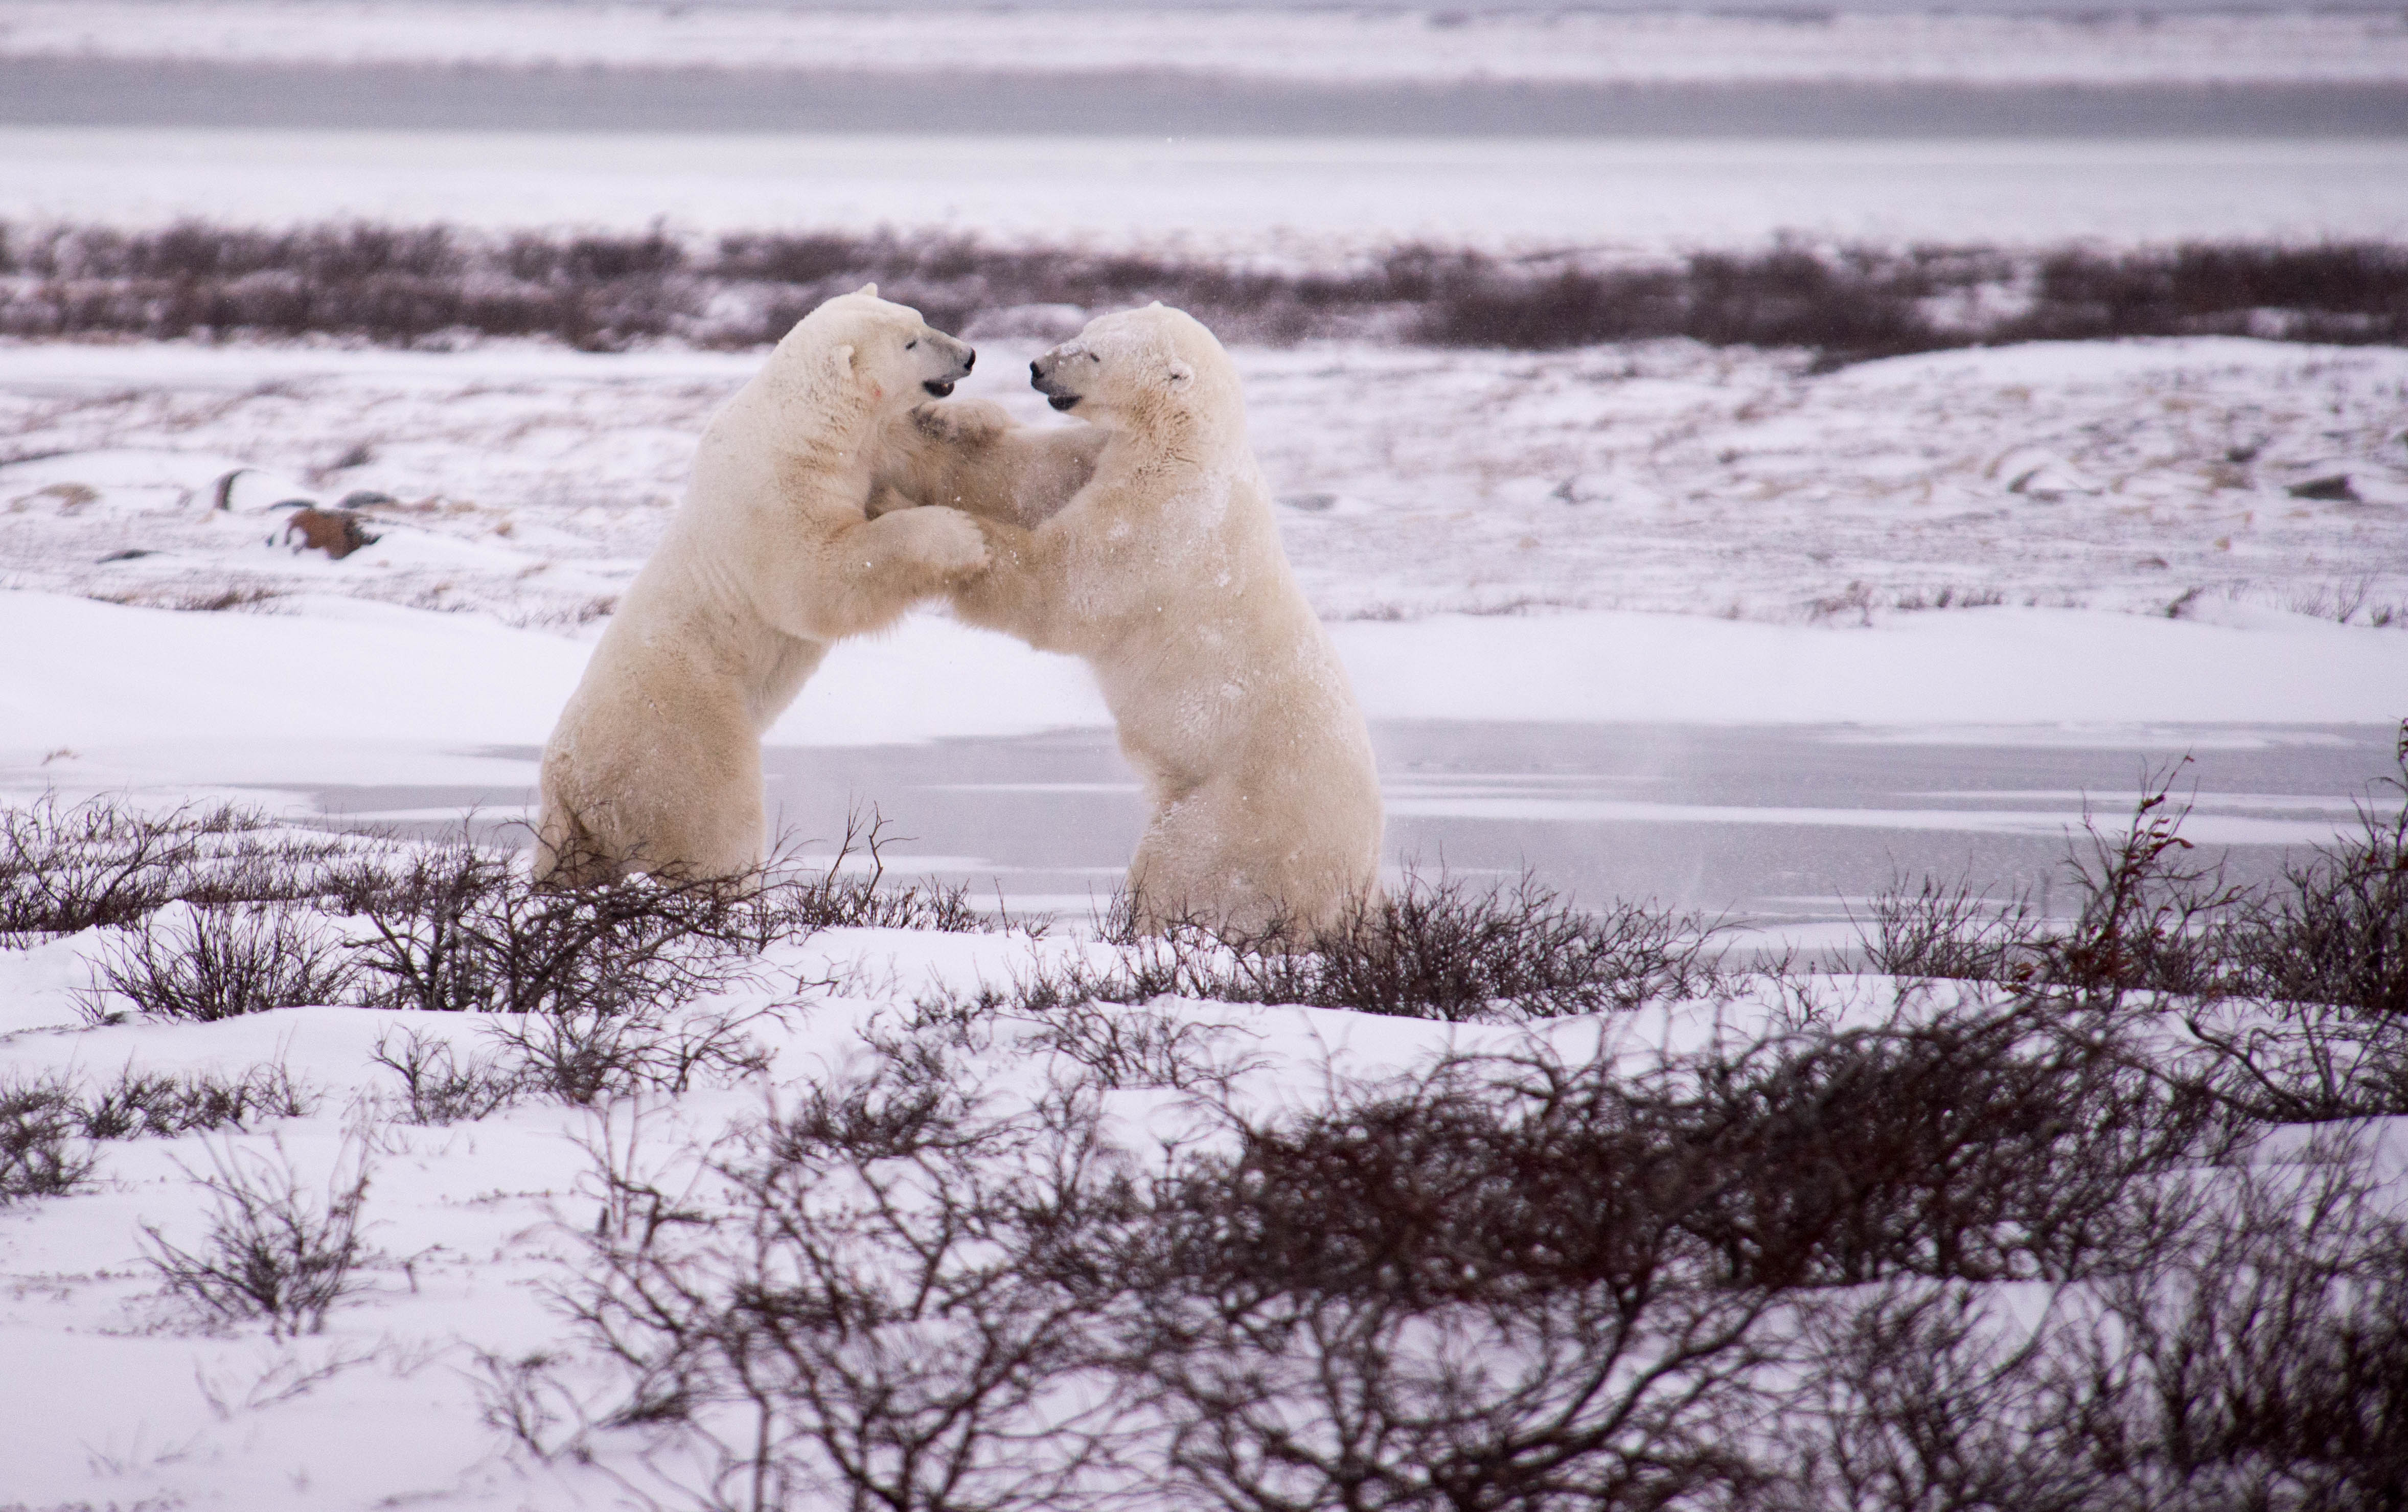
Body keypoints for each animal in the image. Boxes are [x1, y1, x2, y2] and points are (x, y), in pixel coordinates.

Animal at [535, 287, 988, 886]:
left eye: (921, 319)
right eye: (912, 342)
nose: (969, 355)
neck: (802, 425)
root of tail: (569, 785)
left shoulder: (866, 448)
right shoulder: (776, 494)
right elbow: (820, 581)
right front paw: (961, 537)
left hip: (574, 823)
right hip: (683, 736)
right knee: (717, 824)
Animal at [871, 303, 1383, 937]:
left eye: (1094, 355)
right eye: (1083, 333)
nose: (1037, 367)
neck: (1191, 440)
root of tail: (1357, 884)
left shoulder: (1162, 518)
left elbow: (1059, 586)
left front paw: (908, 514)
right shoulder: (1100, 455)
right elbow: (1018, 479)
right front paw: (940, 419)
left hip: (1245, 816)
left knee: (1181, 864)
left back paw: (1148, 926)